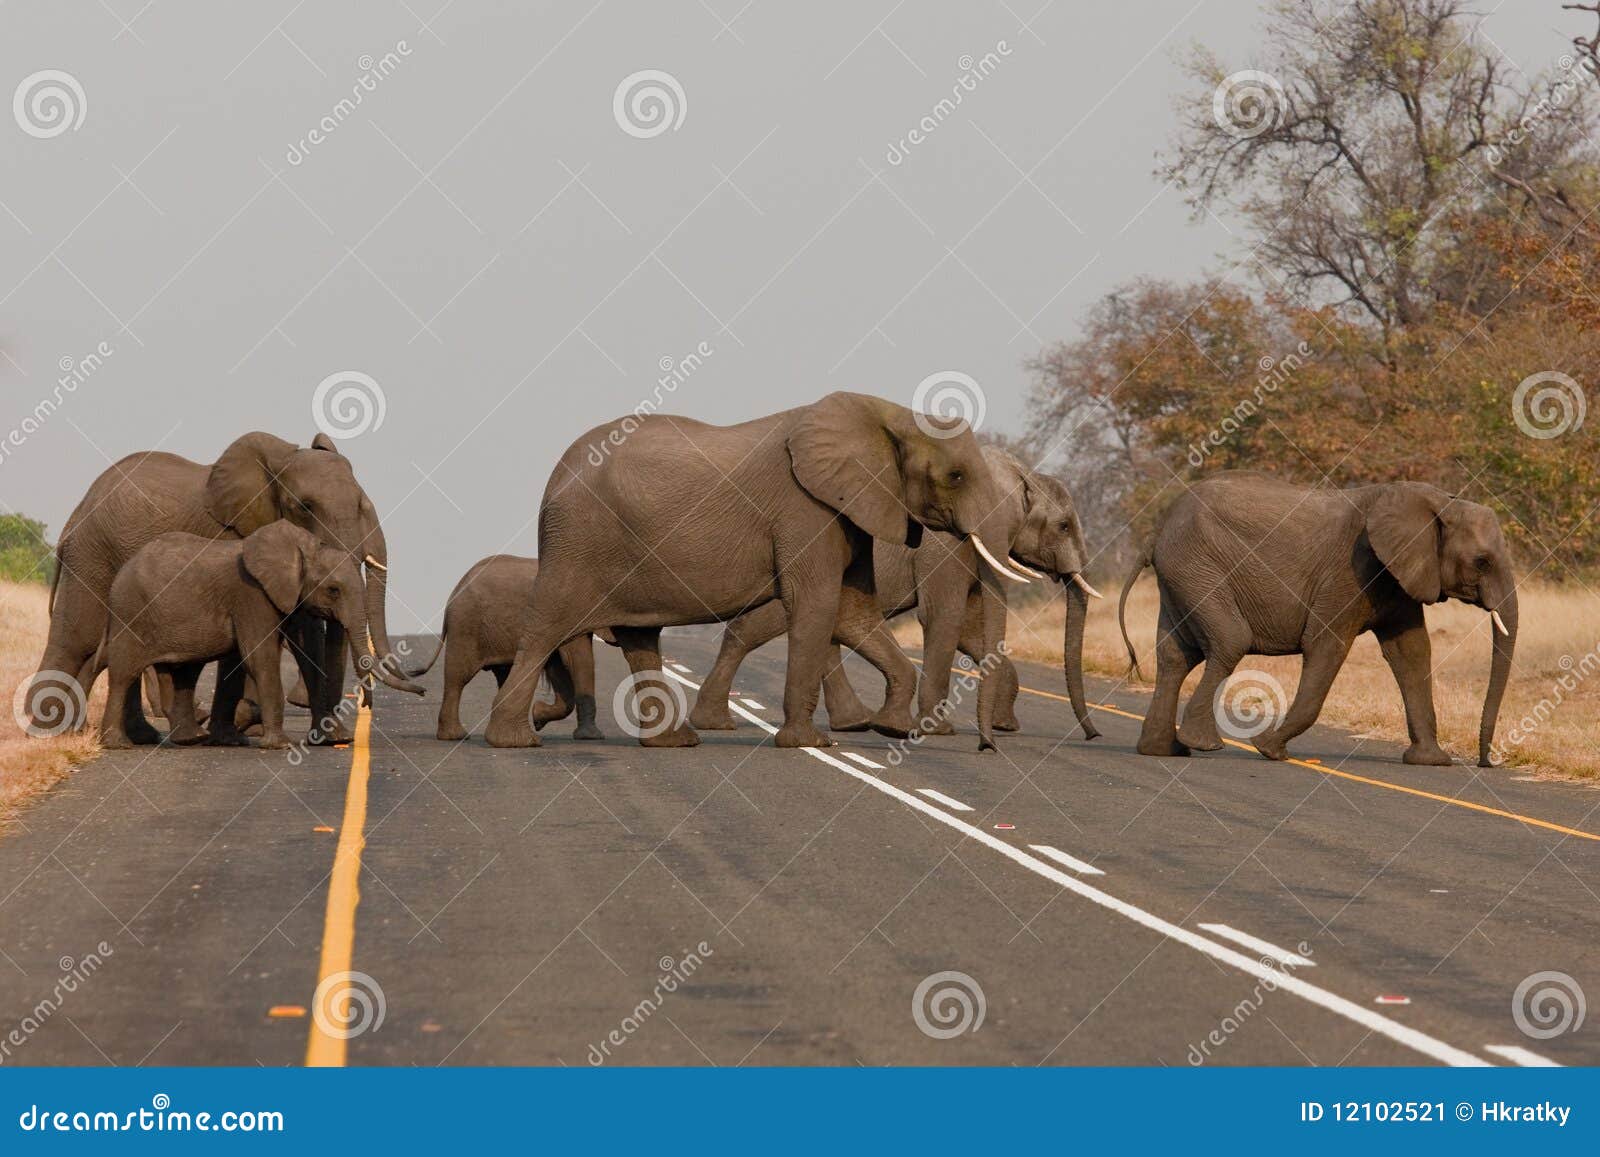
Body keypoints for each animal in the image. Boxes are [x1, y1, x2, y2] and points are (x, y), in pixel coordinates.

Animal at [98, 522, 424, 750]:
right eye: (333, 590)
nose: (423, 691)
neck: (302, 548)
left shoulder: (291, 595)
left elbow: (309, 655)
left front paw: (334, 740)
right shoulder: (251, 594)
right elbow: (261, 657)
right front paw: (280, 746)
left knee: (183, 673)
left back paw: (191, 739)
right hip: (129, 612)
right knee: (124, 673)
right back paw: (118, 744)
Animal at [403, 554, 610, 742]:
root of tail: (456, 588)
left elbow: (557, 665)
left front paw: (538, 717)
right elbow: (577, 659)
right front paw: (591, 737)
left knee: (501, 673)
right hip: (466, 625)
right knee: (458, 677)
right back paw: (456, 736)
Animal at [484, 391, 1037, 750]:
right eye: (956, 476)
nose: (987, 747)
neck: (892, 413)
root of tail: (554, 475)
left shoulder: (852, 509)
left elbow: (854, 612)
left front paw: (893, 730)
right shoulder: (804, 509)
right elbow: (815, 604)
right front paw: (809, 744)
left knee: (640, 637)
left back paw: (675, 743)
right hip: (577, 543)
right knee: (546, 626)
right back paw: (514, 741)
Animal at [686, 448, 1104, 750]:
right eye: (1064, 526)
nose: (1093, 735)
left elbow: (971, 629)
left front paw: (1004, 725)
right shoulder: (943, 547)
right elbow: (945, 618)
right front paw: (939, 731)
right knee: (759, 628)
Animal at [1120, 471, 1517, 767]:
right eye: (1482, 562)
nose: (1485, 762)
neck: (1439, 502)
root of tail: (1157, 532)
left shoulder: (1400, 575)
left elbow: (1412, 651)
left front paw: (1431, 761)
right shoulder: (1352, 570)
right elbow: (1327, 646)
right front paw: (1269, 748)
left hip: (1181, 576)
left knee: (1175, 655)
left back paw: (1163, 750)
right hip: (1198, 567)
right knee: (1230, 641)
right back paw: (1202, 744)